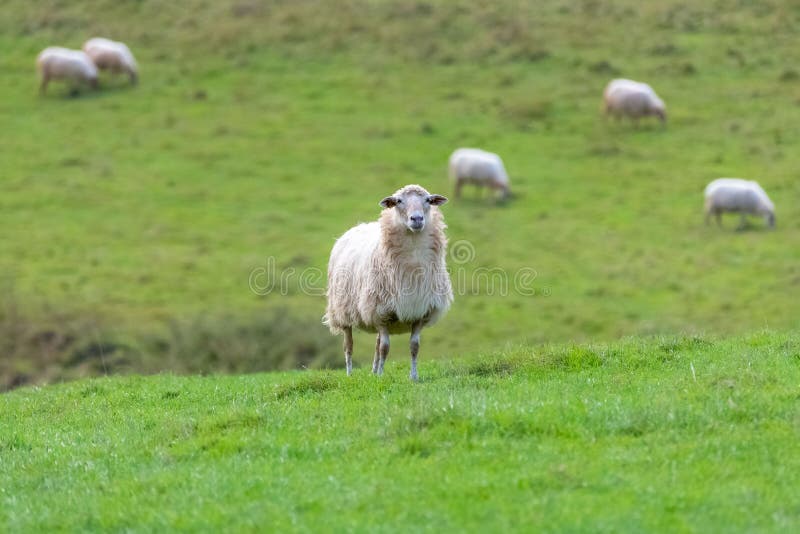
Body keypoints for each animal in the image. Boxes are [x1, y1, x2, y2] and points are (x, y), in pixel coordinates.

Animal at [324, 184, 453, 380]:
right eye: (399, 201)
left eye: (428, 200)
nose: (417, 219)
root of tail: (359, 226)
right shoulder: (380, 313)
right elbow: (385, 348)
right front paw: (381, 377)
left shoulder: (419, 311)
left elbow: (414, 347)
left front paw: (413, 377)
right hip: (342, 311)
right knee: (349, 345)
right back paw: (350, 373)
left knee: (376, 344)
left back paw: (373, 370)